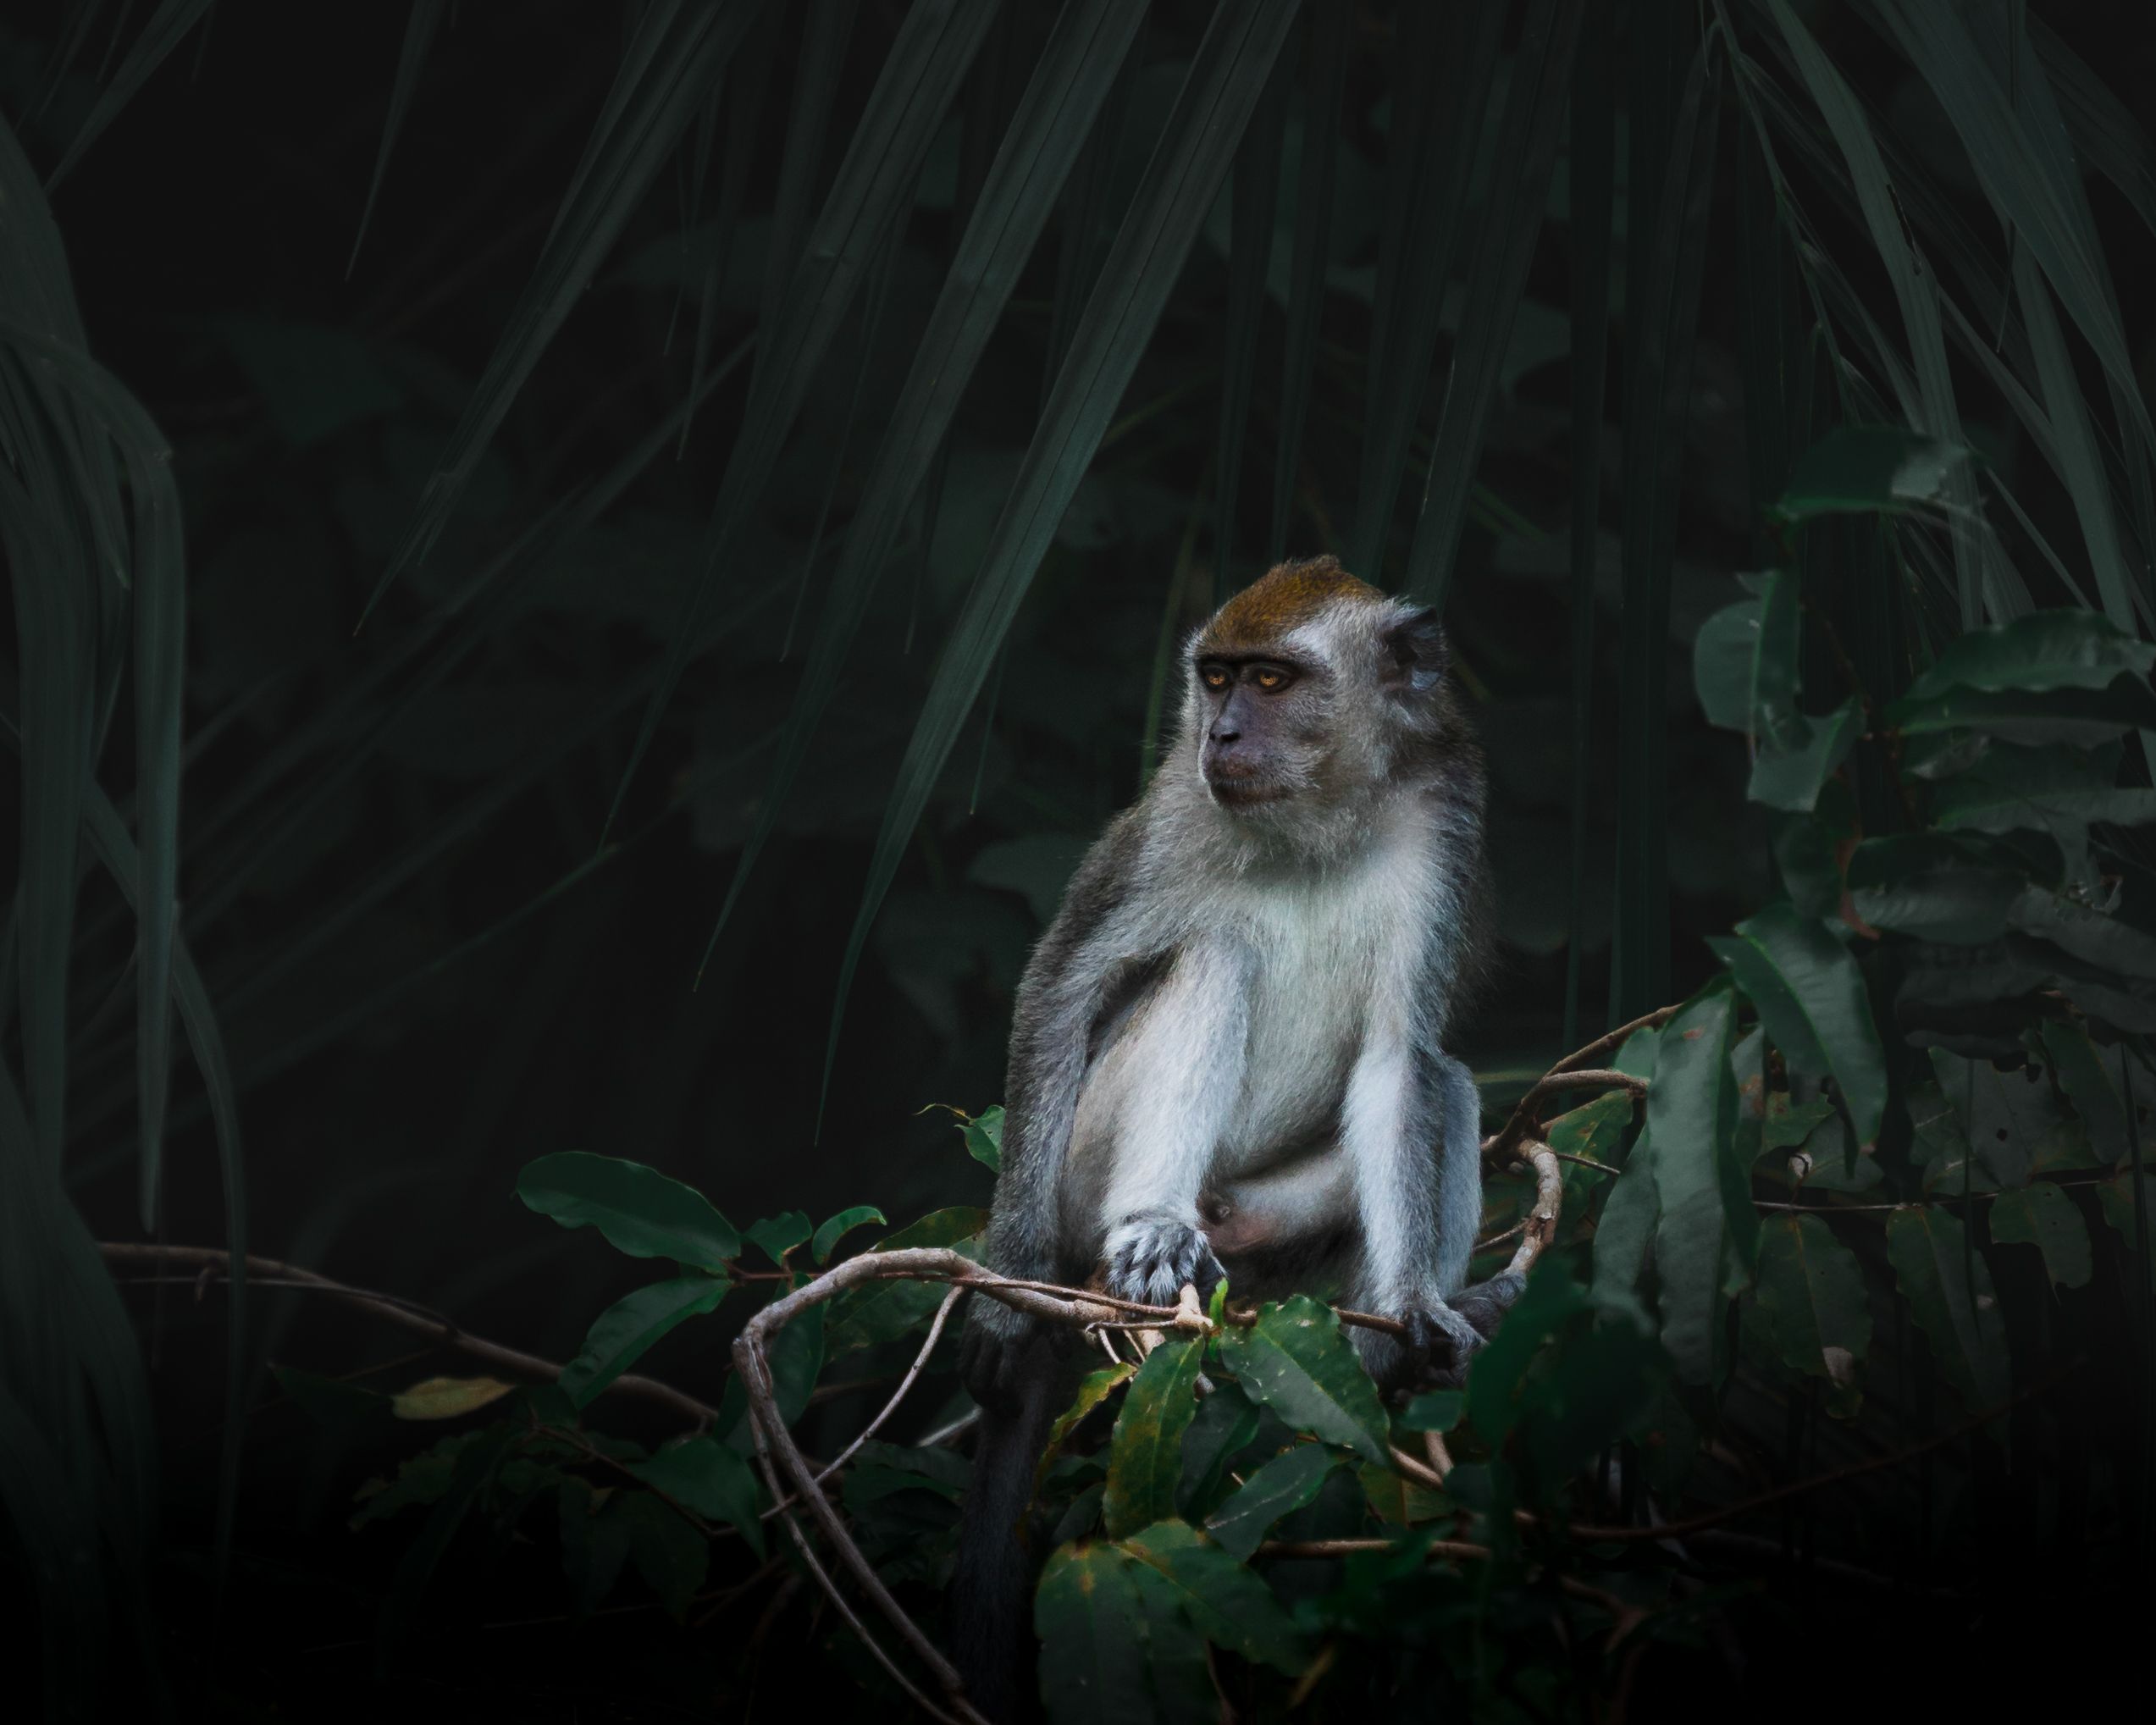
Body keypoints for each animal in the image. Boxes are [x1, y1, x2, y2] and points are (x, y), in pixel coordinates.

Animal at [949, 556, 1520, 1719]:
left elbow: (1398, 1063)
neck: (1316, 819)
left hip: (1267, 1235)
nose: (1219, 734)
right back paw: (1152, 1229)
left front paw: (1409, 1310)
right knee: (1211, 956)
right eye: (1213, 679)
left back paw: (1381, 1357)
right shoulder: (1170, 811)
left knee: (1445, 1082)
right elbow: (1059, 990)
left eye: (1269, 679)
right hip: (1081, 1163)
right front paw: (1000, 1293)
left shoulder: (1444, 816)